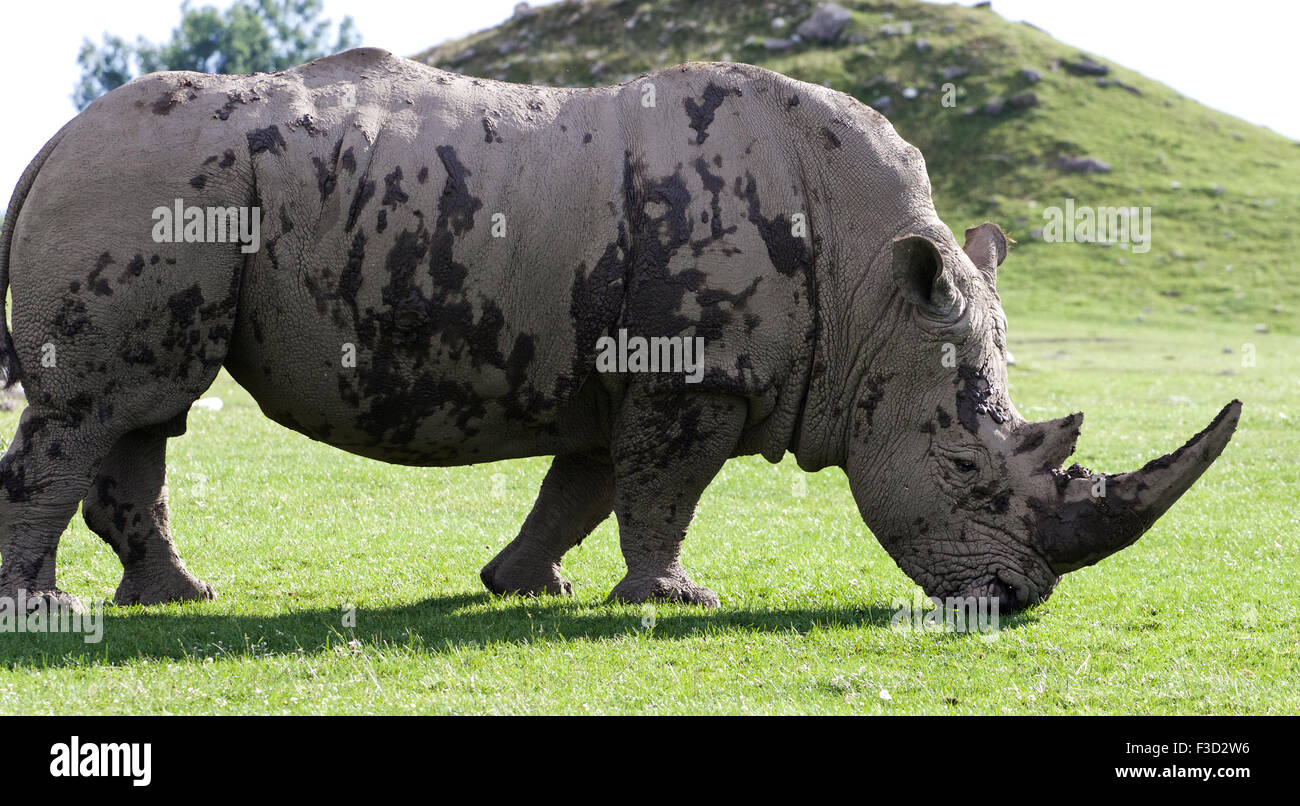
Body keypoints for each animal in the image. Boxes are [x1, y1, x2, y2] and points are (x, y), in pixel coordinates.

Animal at [0, 49, 1239, 613]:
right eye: (972, 474)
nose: (1020, 599)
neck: (875, 295)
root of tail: (54, 141)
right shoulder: (694, 373)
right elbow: (661, 489)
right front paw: (672, 602)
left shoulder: (628, 368)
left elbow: (585, 485)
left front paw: (521, 585)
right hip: (147, 182)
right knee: (96, 407)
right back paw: (51, 612)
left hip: (168, 191)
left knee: (142, 408)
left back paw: (177, 597)